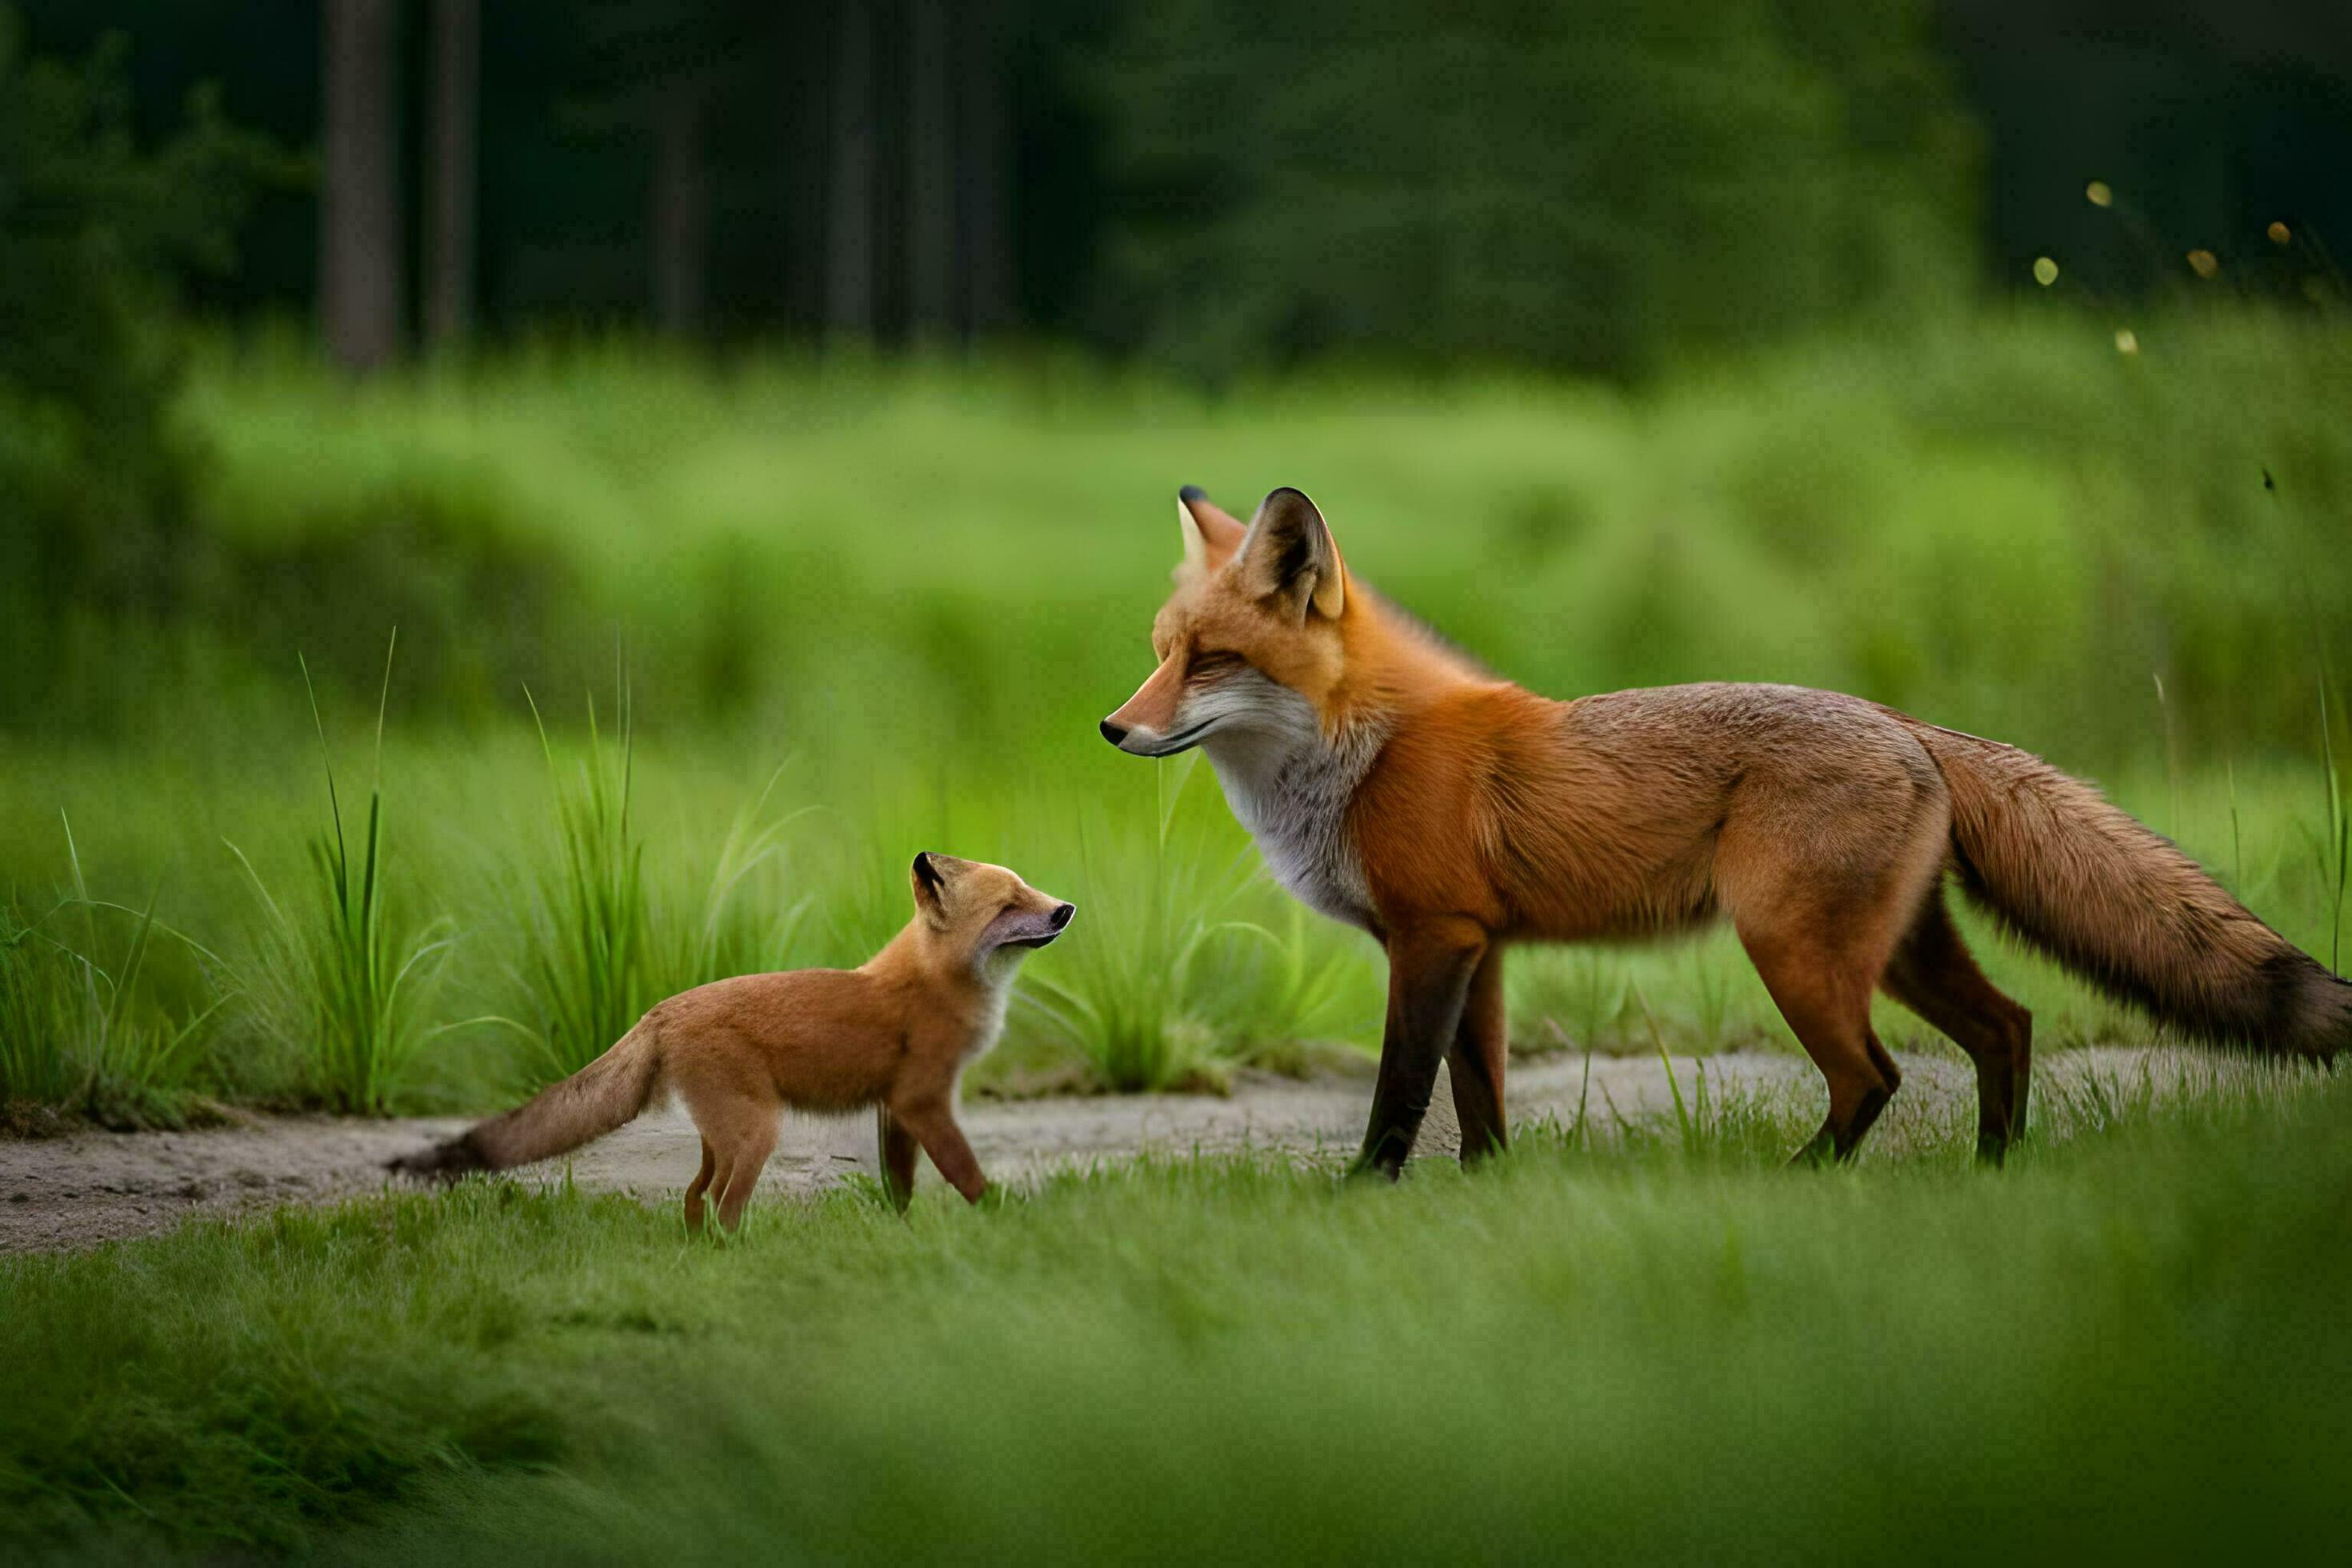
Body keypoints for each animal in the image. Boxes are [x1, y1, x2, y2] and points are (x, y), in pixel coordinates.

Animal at [389, 853, 1075, 1231]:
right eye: (1009, 904)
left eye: (1029, 889)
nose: (1065, 909)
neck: (936, 983)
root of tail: (661, 1010)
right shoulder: (922, 1099)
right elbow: (966, 1175)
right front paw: (1005, 1219)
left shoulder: (896, 1110)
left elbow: (899, 1187)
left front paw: (901, 1233)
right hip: (755, 1134)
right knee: (720, 1205)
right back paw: (738, 1257)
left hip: (721, 1138)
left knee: (693, 1198)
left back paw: (702, 1255)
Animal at [1102, 484, 2352, 1175]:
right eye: (1161, 651)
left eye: (1212, 661)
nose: (1114, 727)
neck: (1361, 756)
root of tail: (1902, 721)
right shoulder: (1478, 950)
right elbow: (1480, 1096)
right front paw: (1486, 1197)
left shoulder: (1434, 939)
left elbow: (1402, 1093)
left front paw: (1365, 1193)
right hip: (1897, 950)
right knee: (2008, 1027)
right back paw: (1990, 1171)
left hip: (1793, 949)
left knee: (1875, 1077)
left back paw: (1805, 1178)